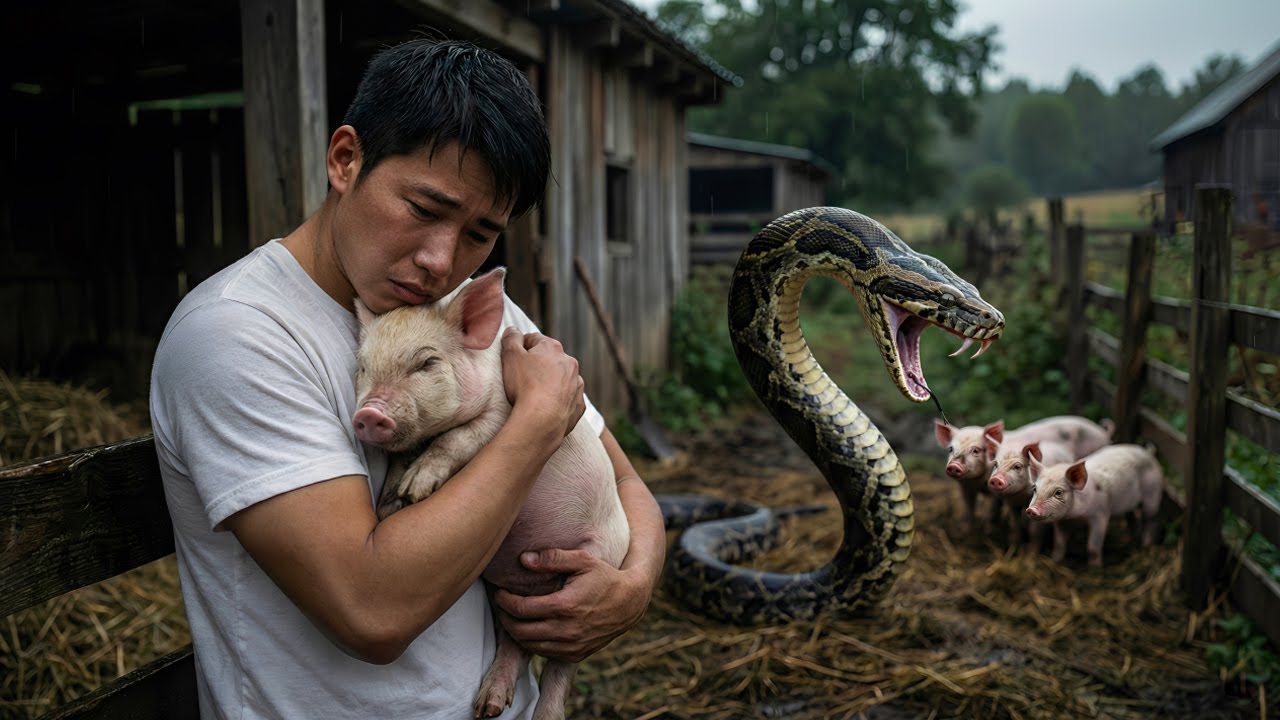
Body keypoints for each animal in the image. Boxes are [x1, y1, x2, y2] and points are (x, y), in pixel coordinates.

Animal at [351, 268, 628, 720]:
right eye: (361, 366)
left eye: (427, 363)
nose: (369, 413)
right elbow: (396, 465)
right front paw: (391, 506)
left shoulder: (501, 415)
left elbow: (457, 440)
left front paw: (416, 489)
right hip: (504, 596)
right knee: (515, 645)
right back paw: (488, 706)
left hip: (594, 573)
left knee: (560, 668)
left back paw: (540, 714)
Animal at [934, 415, 1115, 535]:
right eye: (951, 448)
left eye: (976, 450)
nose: (954, 466)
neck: (977, 482)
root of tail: (1103, 432)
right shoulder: (965, 487)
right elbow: (969, 509)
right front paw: (967, 531)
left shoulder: (996, 495)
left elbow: (994, 509)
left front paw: (992, 527)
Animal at [1024, 443, 1165, 567]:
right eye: (1035, 488)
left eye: (1058, 492)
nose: (1031, 510)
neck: (1075, 517)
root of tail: (1148, 452)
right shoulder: (1062, 521)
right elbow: (1059, 543)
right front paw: (1056, 560)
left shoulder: (1101, 514)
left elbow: (1093, 547)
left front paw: (1095, 568)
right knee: (1132, 518)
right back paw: (1129, 540)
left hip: (1153, 495)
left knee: (1152, 519)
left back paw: (1146, 546)